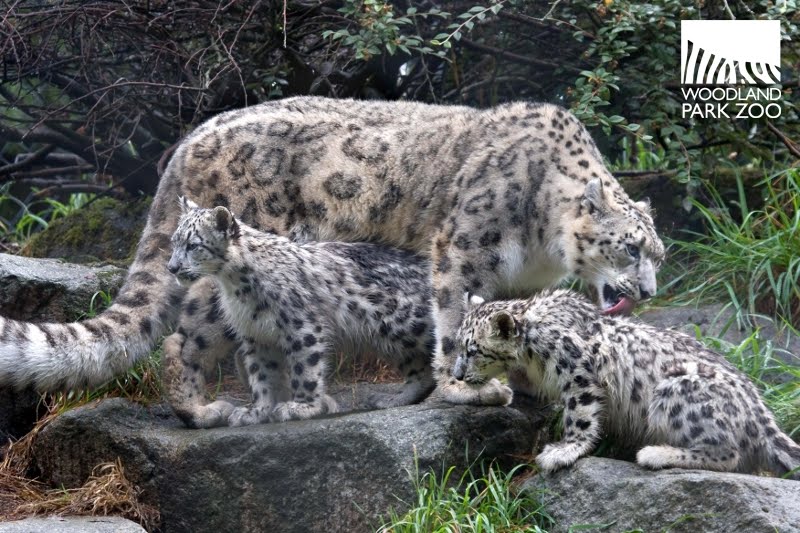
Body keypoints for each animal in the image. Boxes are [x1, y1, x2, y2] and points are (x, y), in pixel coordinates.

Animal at [0, 96, 664, 420]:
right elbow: (453, 322)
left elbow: (502, 326)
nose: (652, 289)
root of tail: (192, 139)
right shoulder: (462, 252)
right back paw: (204, 409)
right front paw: (465, 390)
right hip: (236, 261)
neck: (542, 248)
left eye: (658, 251)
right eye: (631, 247)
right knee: (185, 331)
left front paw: (517, 381)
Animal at [452, 289, 800, 479]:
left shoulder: (578, 372)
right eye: (458, 345)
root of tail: (761, 415)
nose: (457, 375)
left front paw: (563, 450)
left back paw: (656, 454)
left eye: (473, 350)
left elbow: (580, 414)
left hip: (675, 394)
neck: (529, 359)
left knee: (728, 453)